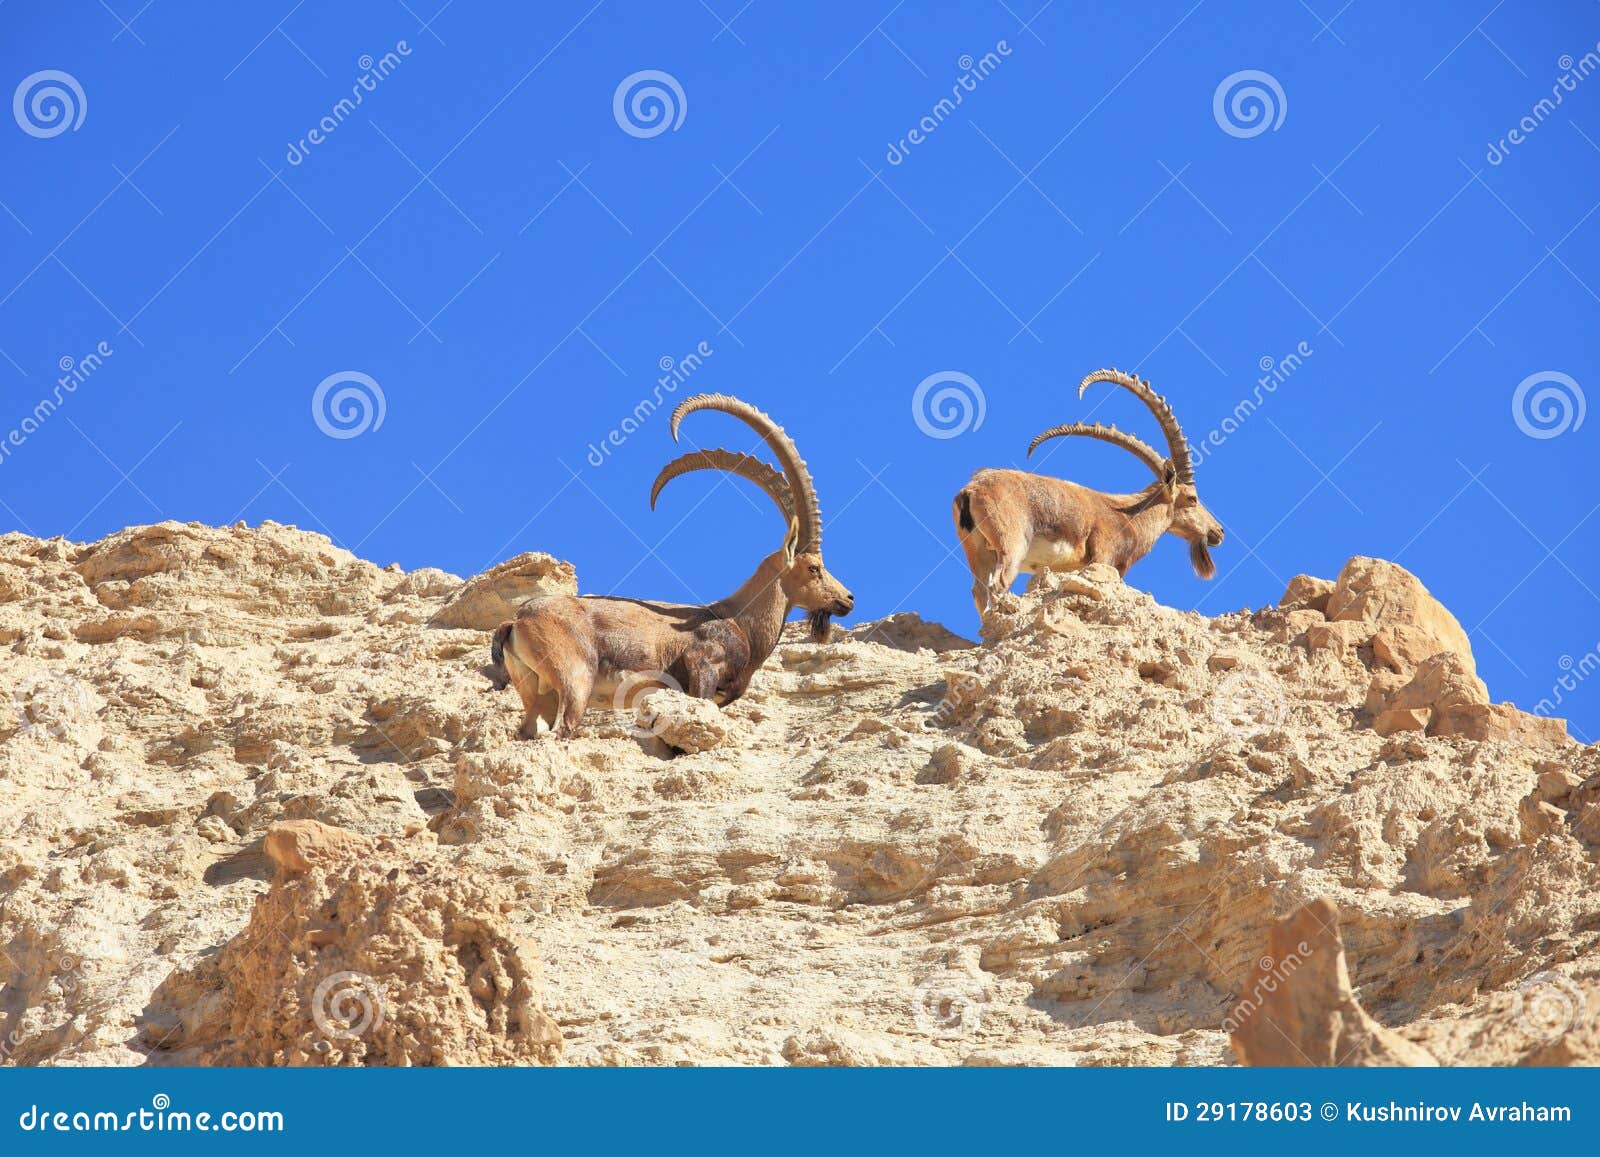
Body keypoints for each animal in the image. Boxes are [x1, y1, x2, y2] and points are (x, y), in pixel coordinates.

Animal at [492, 394, 854, 739]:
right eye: (814, 568)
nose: (848, 599)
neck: (740, 620)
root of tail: (517, 620)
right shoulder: (702, 667)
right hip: (575, 679)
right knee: (563, 728)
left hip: (536, 692)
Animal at [954, 368, 1224, 616]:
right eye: (1192, 498)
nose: (1218, 532)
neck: (1130, 515)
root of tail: (971, 489)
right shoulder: (1103, 558)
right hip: (1012, 544)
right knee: (998, 584)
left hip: (977, 550)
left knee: (978, 592)